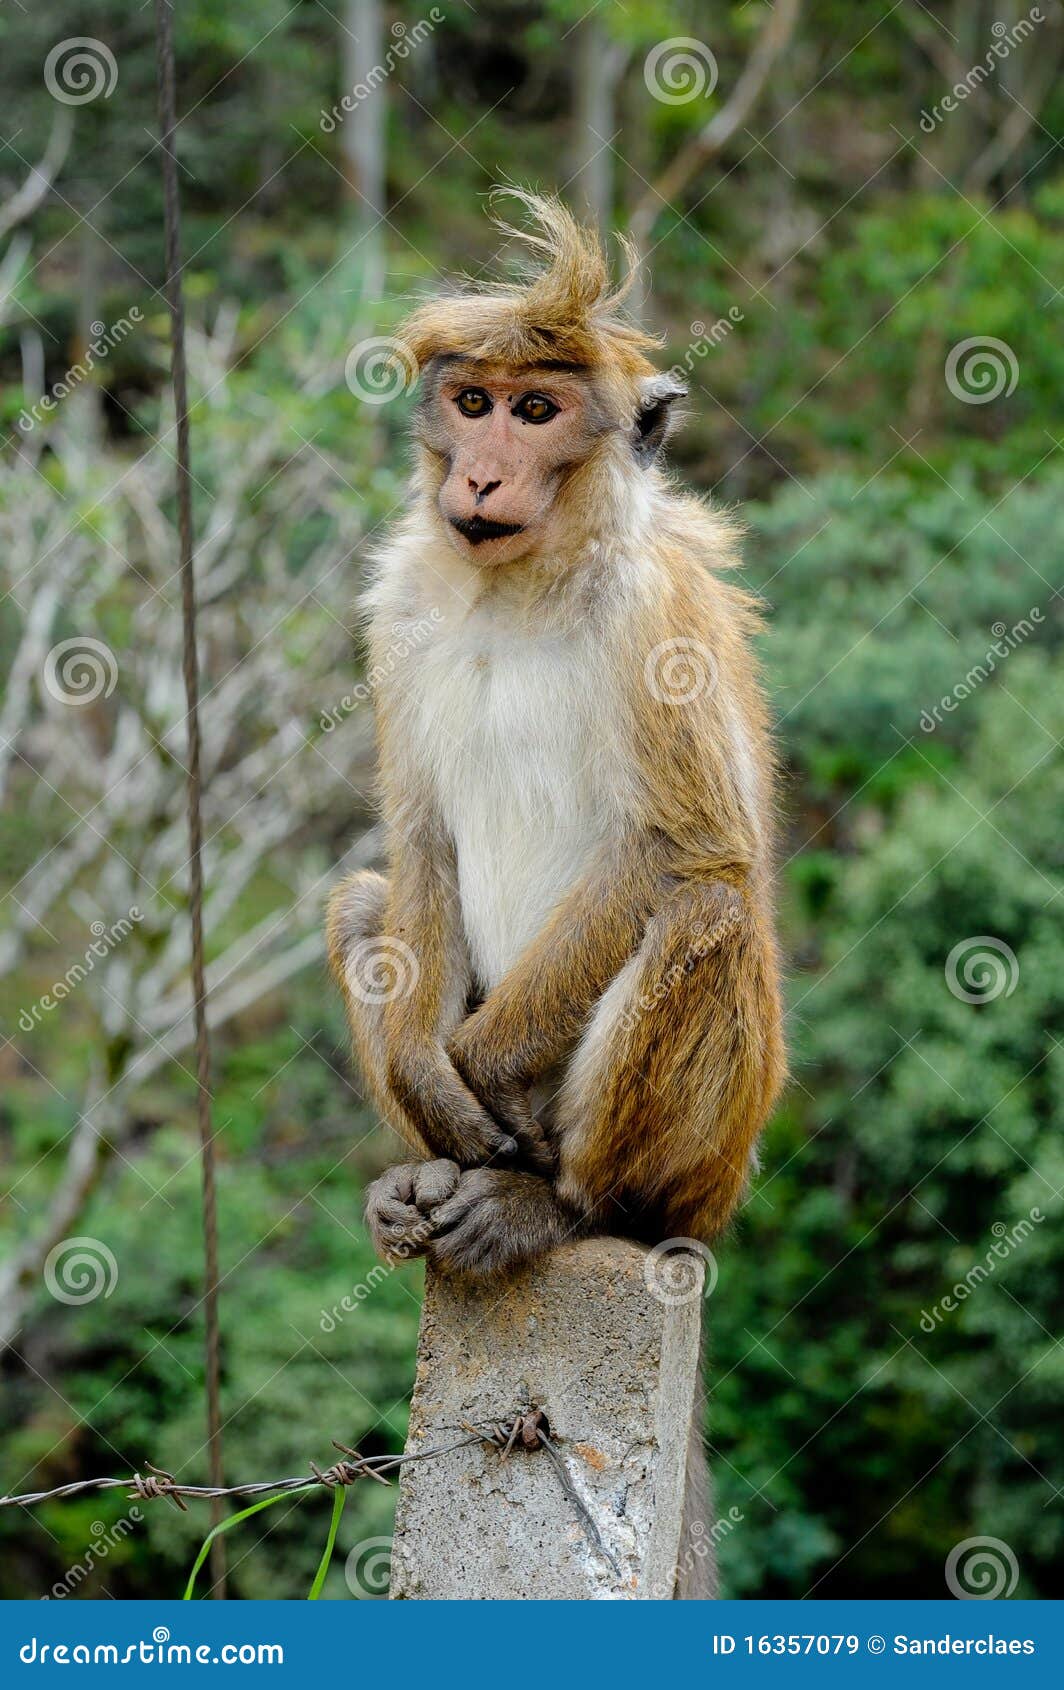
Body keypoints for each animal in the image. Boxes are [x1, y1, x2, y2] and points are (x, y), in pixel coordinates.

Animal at [327, 186, 784, 1295]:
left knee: (702, 907)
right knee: (365, 903)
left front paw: (485, 1068)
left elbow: (692, 846)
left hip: (707, 1163)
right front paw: (430, 1080)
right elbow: (420, 841)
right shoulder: (396, 604)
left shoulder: (653, 613)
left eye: (536, 413)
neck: (520, 585)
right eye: (473, 403)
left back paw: (563, 1207)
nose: (484, 476)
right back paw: (425, 1172)